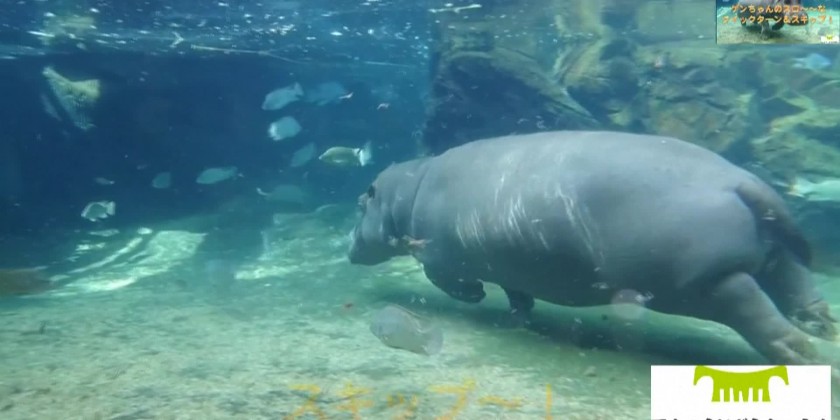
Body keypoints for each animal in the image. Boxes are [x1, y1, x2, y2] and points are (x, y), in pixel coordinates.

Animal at [347, 130, 837, 369]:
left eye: (359, 202)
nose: (350, 251)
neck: (407, 191)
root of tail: (740, 181)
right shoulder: (512, 268)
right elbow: (516, 293)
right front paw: (519, 315)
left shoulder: (435, 254)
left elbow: (447, 281)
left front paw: (475, 297)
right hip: (772, 249)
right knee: (794, 281)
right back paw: (824, 328)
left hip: (711, 284)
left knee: (755, 309)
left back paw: (803, 356)